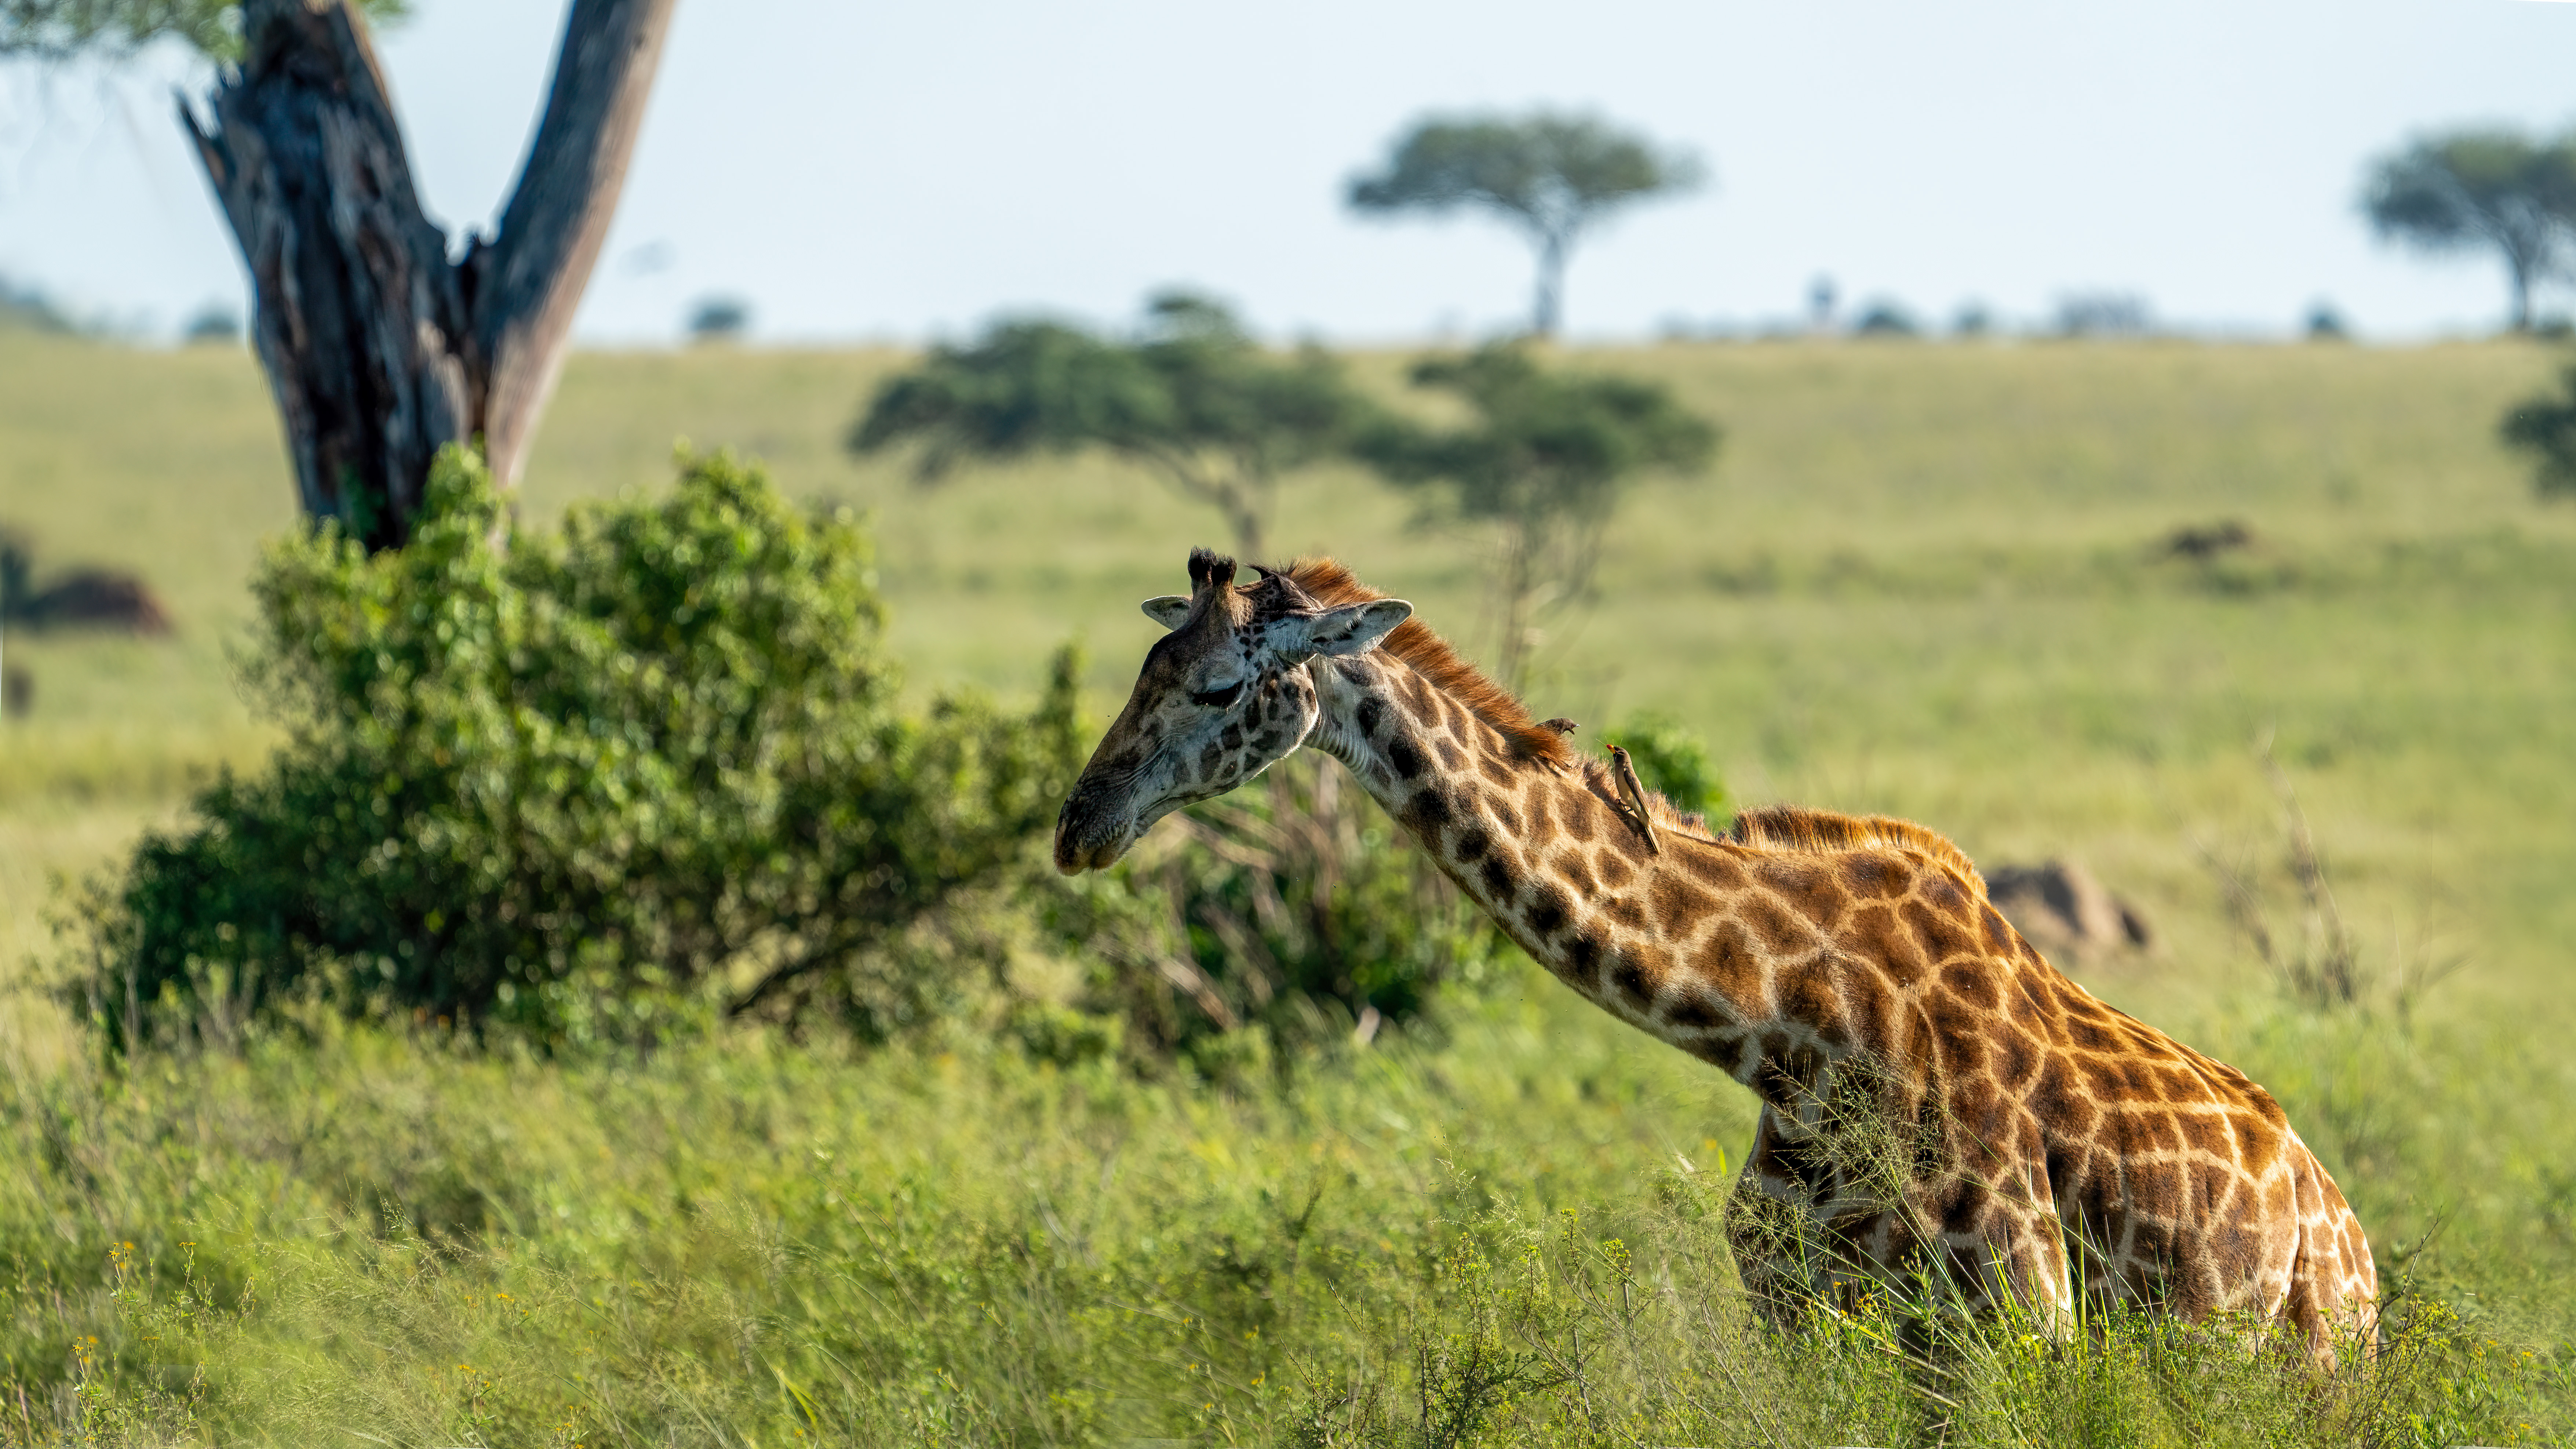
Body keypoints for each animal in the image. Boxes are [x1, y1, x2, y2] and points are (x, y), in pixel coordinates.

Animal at [1054, 549, 2381, 1366]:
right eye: (1147, 666)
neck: (1797, 1032)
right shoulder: (1794, 1312)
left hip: (2307, 1366)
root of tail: (2351, 1242)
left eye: (1217, 684)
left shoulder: (2018, 1315)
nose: (1079, 824)